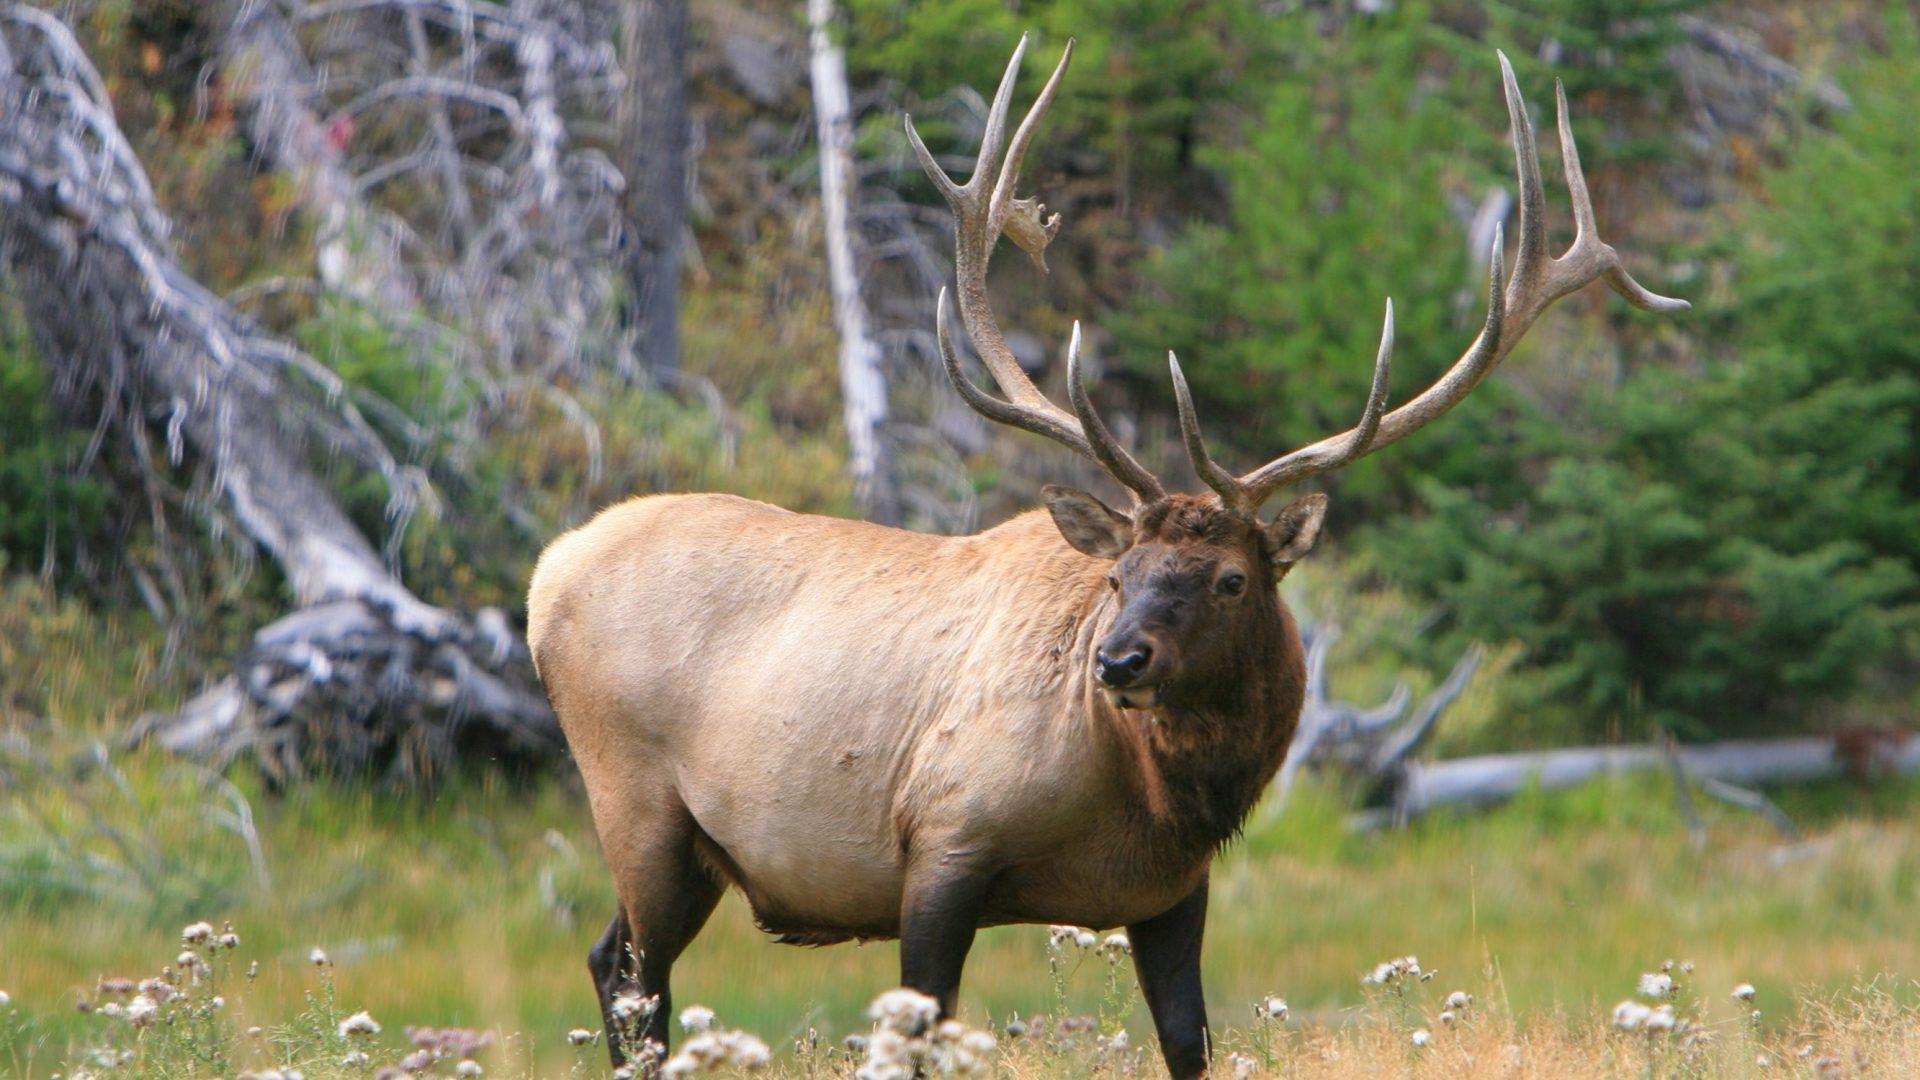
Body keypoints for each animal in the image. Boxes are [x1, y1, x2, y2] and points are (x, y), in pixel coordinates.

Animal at [525, 36, 1685, 1078]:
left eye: (1230, 579)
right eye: (1119, 577)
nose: (1116, 661)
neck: (1149, 799)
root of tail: (544, 576)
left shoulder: (1172, 895)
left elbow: (1189, 1044)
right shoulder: (942, 842)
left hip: (689, 850)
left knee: (610, 963)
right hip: (637, 801)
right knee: (632, 978)